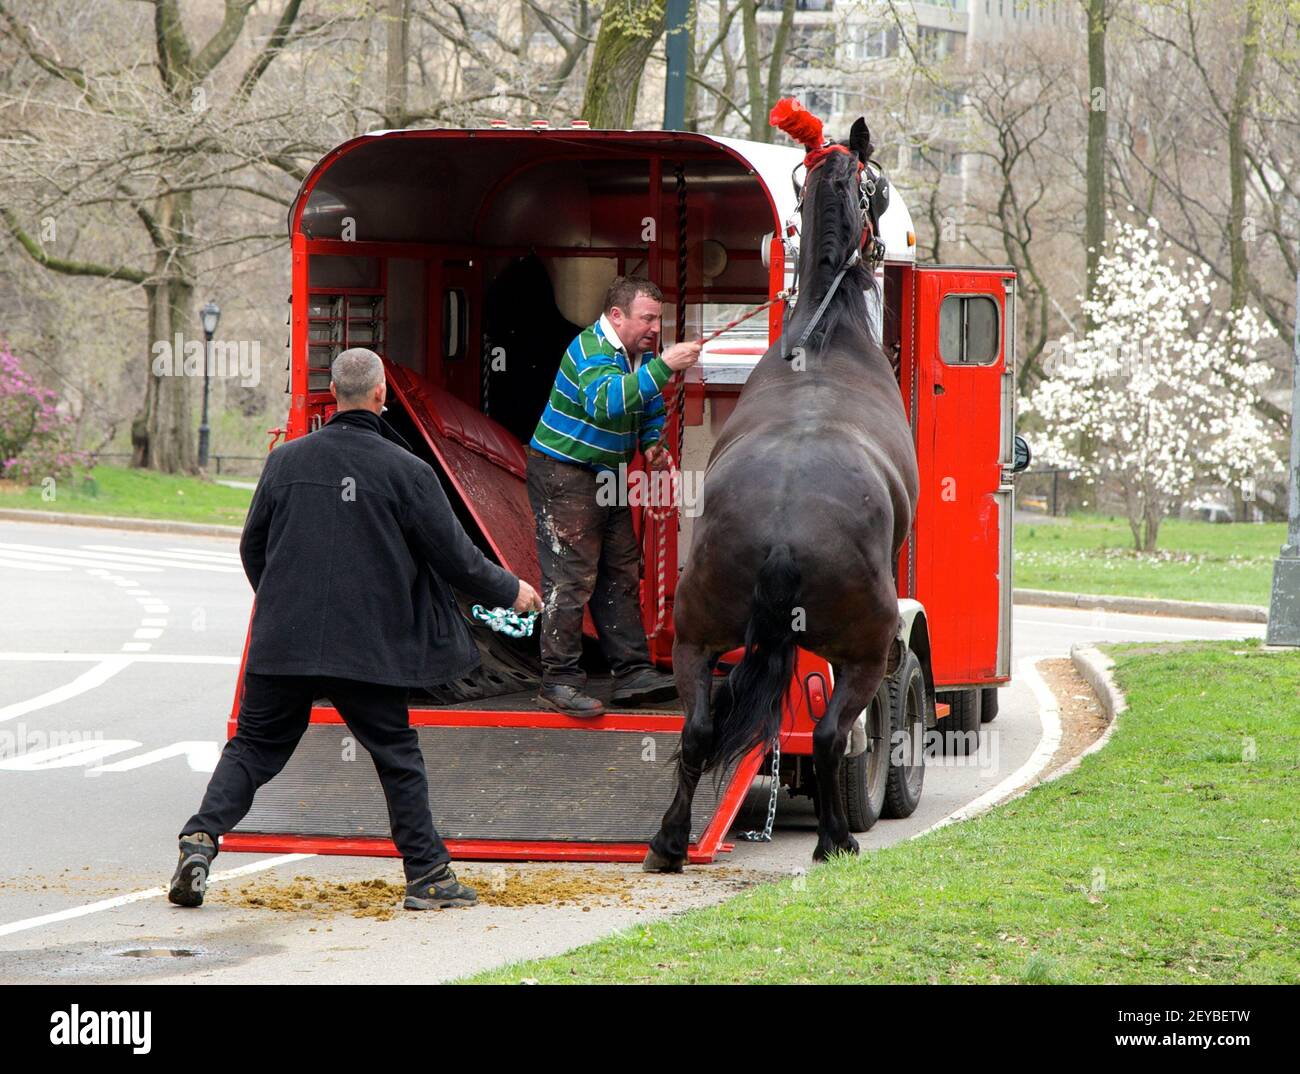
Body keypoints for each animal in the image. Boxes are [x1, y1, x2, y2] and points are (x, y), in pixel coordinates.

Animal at [644, 112, 920, 869]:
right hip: (861, 651)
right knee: (829, 735)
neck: (826, 335)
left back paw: (668, 842)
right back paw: (834, 839)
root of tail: (780, 536)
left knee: (697, 733)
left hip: (696, 638)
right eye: (877, 182)